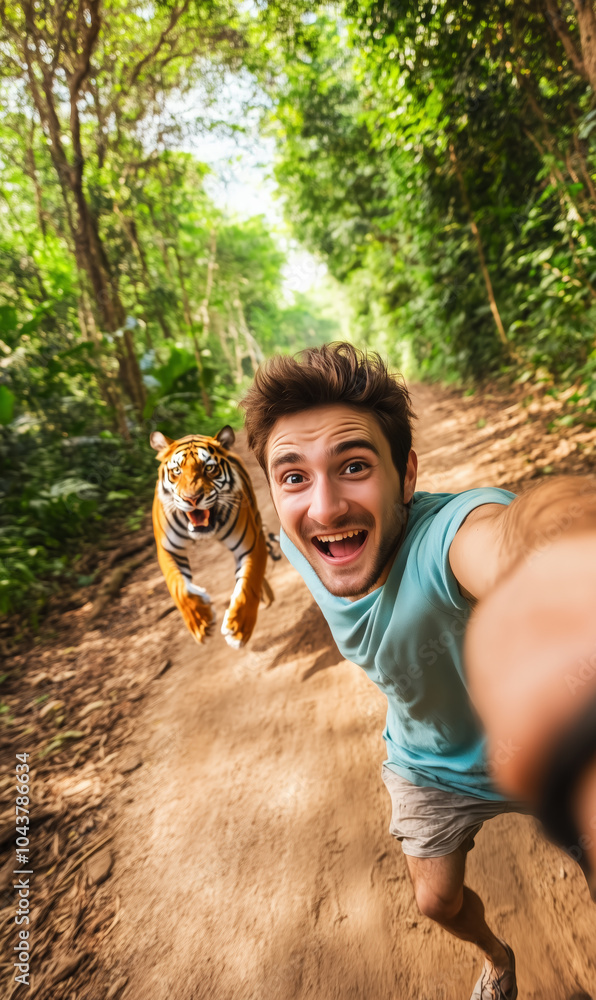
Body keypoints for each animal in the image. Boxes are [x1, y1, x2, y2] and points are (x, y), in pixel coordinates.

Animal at [150, 425, 280, 648]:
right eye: (177, 471)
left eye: (209, 468)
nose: (192, 499)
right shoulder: (168, 550)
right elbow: (179, 588)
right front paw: (200, 622)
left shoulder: (250, 544)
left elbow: (249, 583)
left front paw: (239, 629)